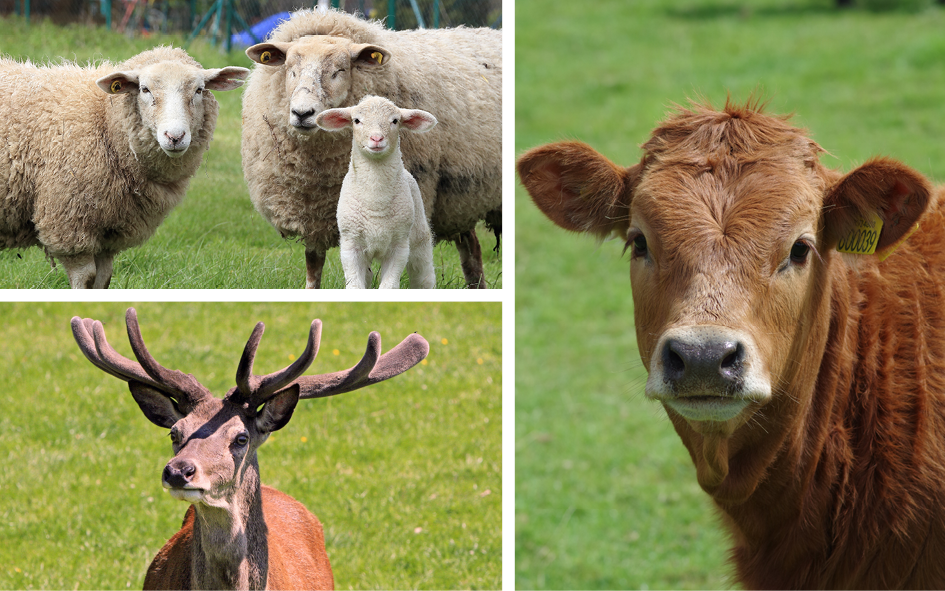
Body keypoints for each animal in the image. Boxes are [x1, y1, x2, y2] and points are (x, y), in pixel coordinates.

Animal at [0, 47, 249, 288]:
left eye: (199, 90)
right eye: (144, 89)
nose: (175, 137)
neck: (103, 119)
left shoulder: (108, 235)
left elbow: (103, 280)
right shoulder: (67, 224)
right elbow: (85, 278)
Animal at [315, 95, 437, 289]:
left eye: (395, 121)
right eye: (356, 120)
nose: (377, 138)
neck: (376, 200)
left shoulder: (399, 246)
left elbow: (388, 286)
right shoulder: (350, 245)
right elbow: (355, 286)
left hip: (418, 237)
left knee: (423, 276)